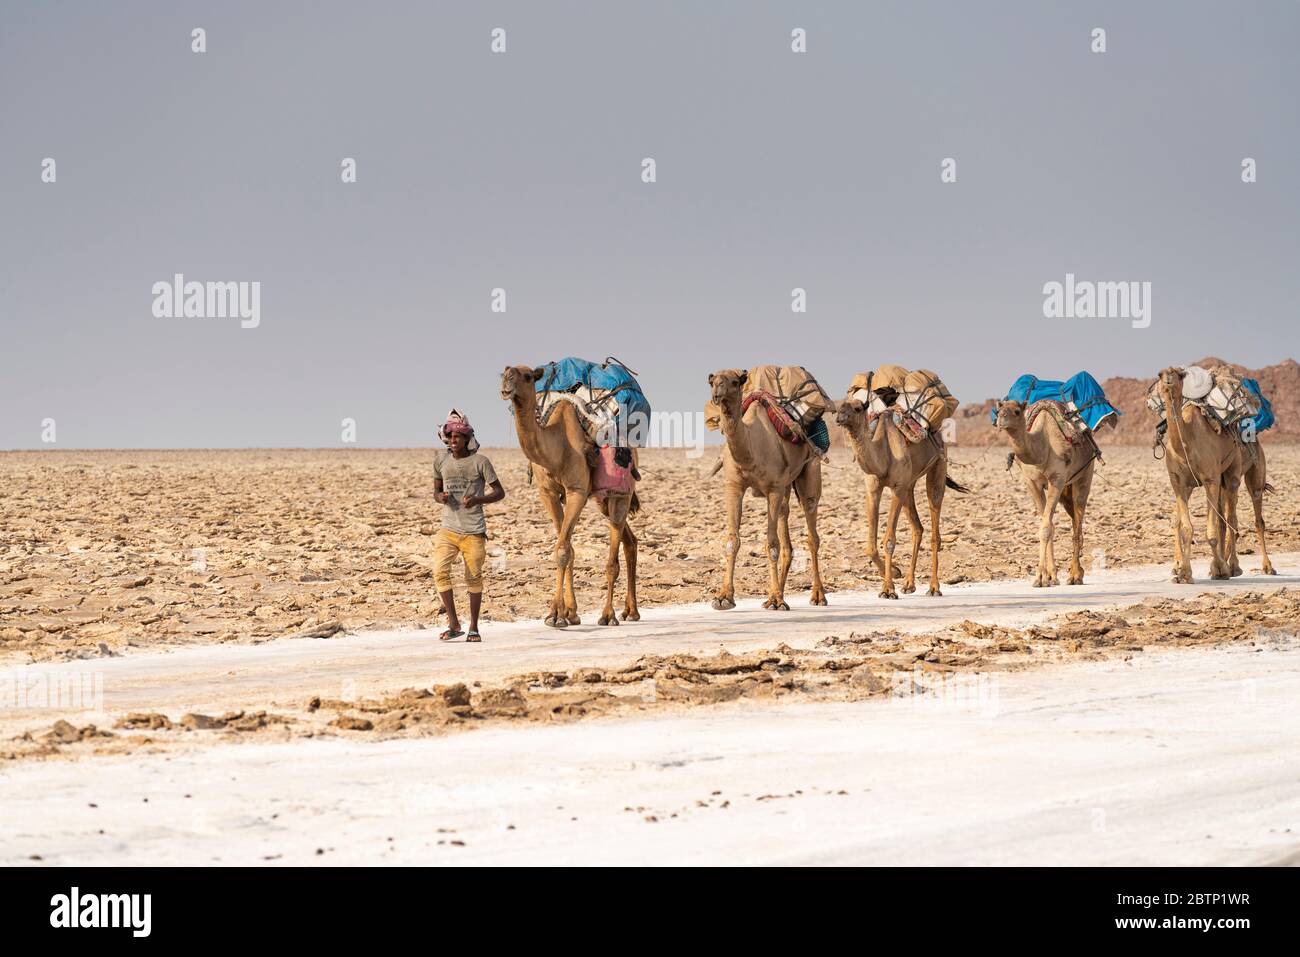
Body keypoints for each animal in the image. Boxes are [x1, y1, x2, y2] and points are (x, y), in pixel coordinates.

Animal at [500, 365, 640, 627]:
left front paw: (555, 615)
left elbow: (563, 550)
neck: (557, 446)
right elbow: (566, 548)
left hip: (621, 493)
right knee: (630, 541)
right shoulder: (548, 493)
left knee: (613, 558)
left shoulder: (577, 491)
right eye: (504, 374)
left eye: (527, 376)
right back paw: (631, 611)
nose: (506, 385)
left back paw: (609, 615)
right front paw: (570, 613)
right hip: (602, 500)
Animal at [707, 369, 827, 611]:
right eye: (712, 382)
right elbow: (732, 539)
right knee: (786, 534)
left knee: (811, 531)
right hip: (786, 489)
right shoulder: (734, 486)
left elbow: (771, 543)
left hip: (809, 469)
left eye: (734, 382)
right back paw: (776, 593)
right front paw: (723, 597)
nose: (717, 395)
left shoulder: (773, 489)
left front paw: (776, 601)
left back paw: (817, 595)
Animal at [834, 400, 968, 598]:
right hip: (909, 485)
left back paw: (934, 588)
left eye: (857, 408)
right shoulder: (873, 488)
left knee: (935, 530)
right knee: (917, 528)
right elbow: (870, 546)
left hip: (938, 466)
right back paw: (909, 584)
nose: (839, 417)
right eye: (838, 407)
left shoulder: (897, 487)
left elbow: (889, 540)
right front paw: (895, 573)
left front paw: (888, 589)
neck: (883, 454)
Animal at [993, 400, 1096, 587]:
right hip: (1066, 491)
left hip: (1084, 476)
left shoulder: (1057, 478)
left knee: (1077, 524)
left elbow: (1046, 528)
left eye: (1017, 411)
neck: (1042, 446)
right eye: (999, 410)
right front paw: (1050, 576)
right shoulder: (1032, 482)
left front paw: (1040, 577)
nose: (1001, 419)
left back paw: (1075, 575)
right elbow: (1047, 524)